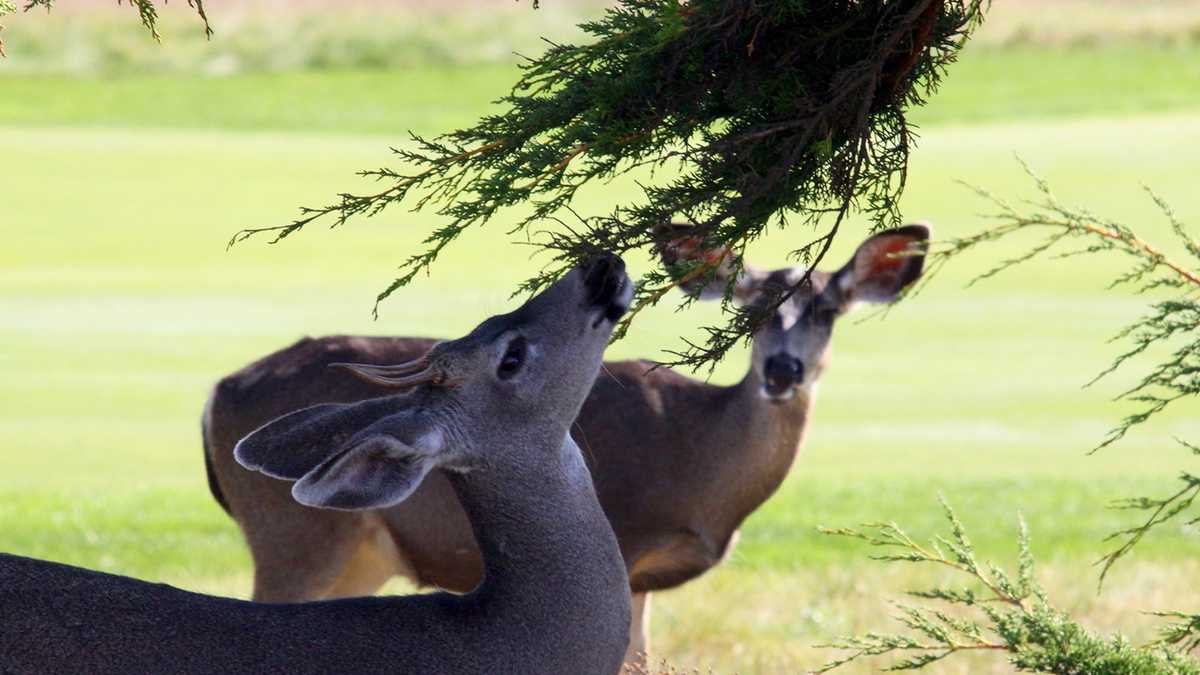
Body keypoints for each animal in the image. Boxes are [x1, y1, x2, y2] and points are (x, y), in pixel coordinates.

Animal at [202, 224, 930, 667]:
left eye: (827, 311)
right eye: (749, 311)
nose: (782, 371)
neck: (706, 464)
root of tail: (214, 393)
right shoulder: (631, 539)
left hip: (359, 553)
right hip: (293, 536)